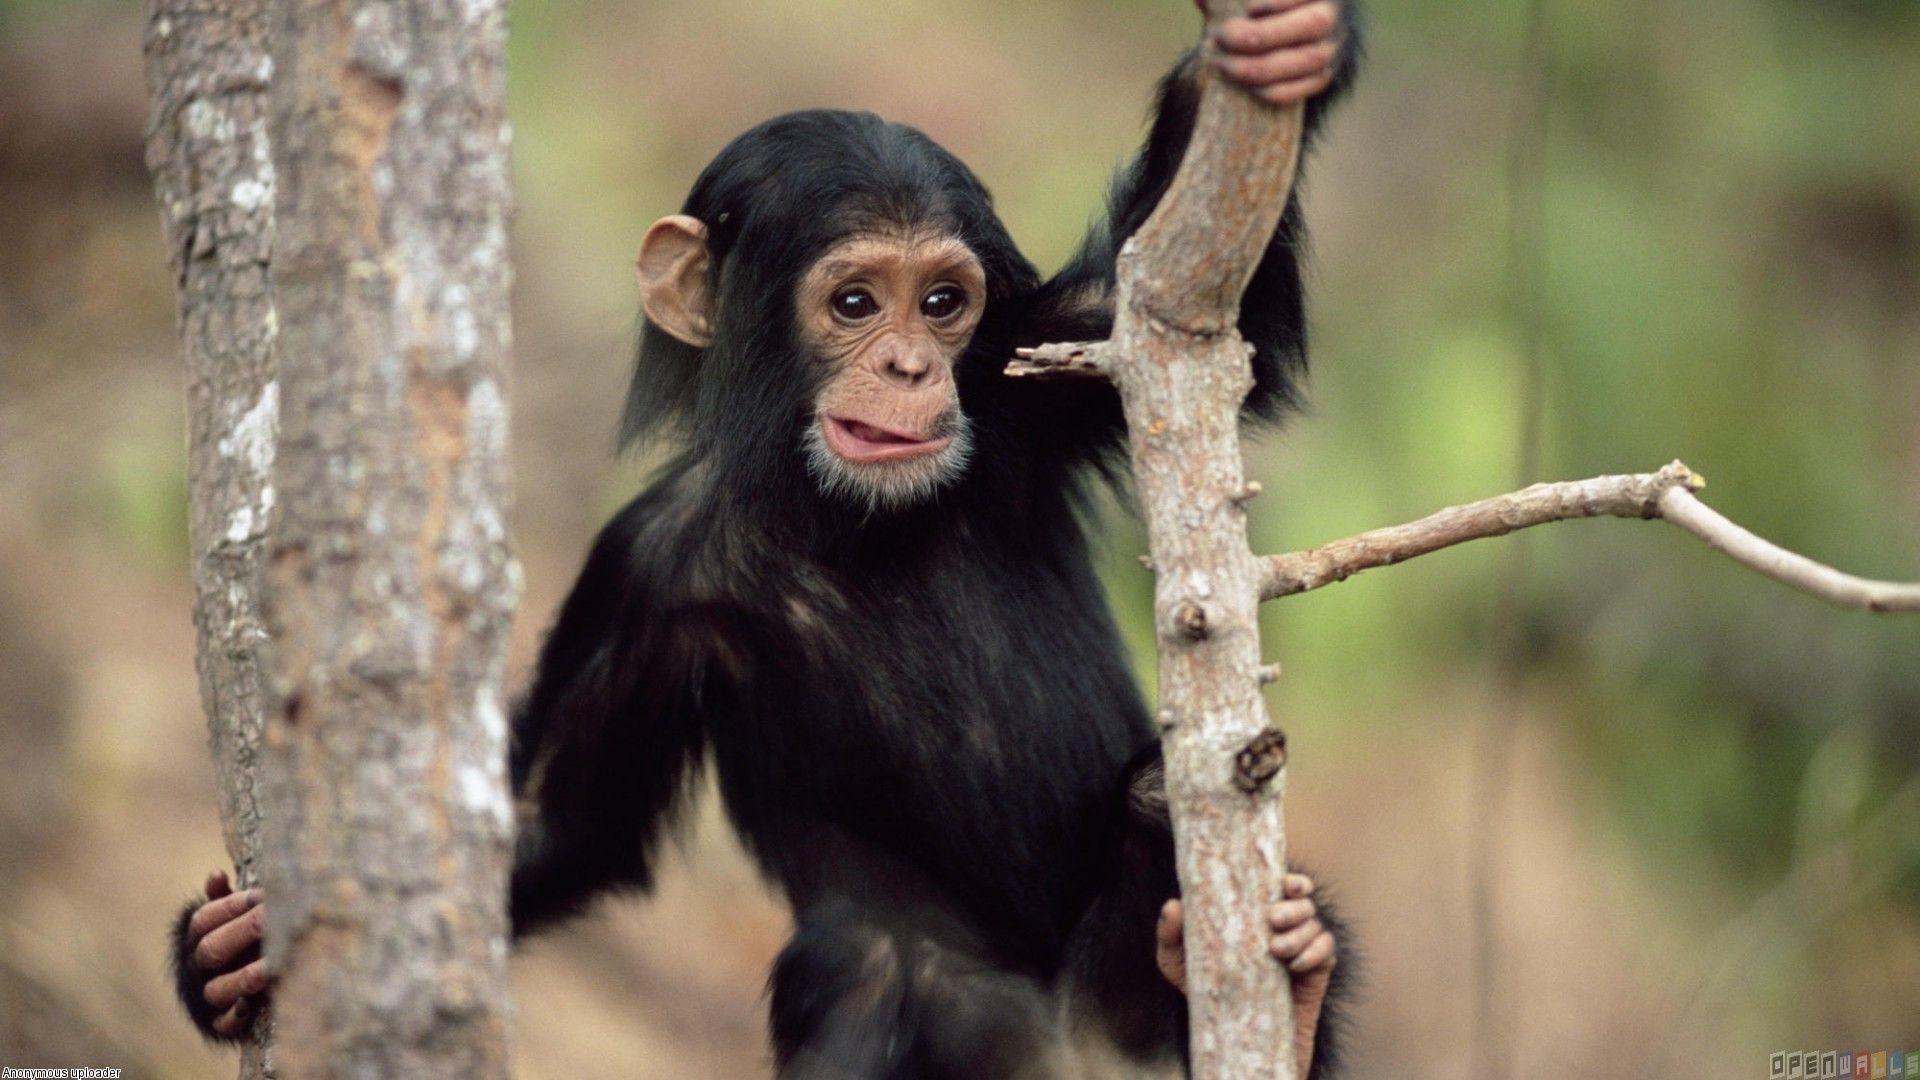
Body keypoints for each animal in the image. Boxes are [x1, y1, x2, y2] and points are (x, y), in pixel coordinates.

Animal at [172, 2, 1361, 1074]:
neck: (839, 515)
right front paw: (221, 956)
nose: (911, 368)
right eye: (854, 302)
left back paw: (1278, 981)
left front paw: (1274, 51)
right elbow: (554, 823)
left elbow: (1197, 307)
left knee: (1158, 803)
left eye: (943, 303)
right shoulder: (644, 572)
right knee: (863, 960)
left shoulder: (1034, 377)